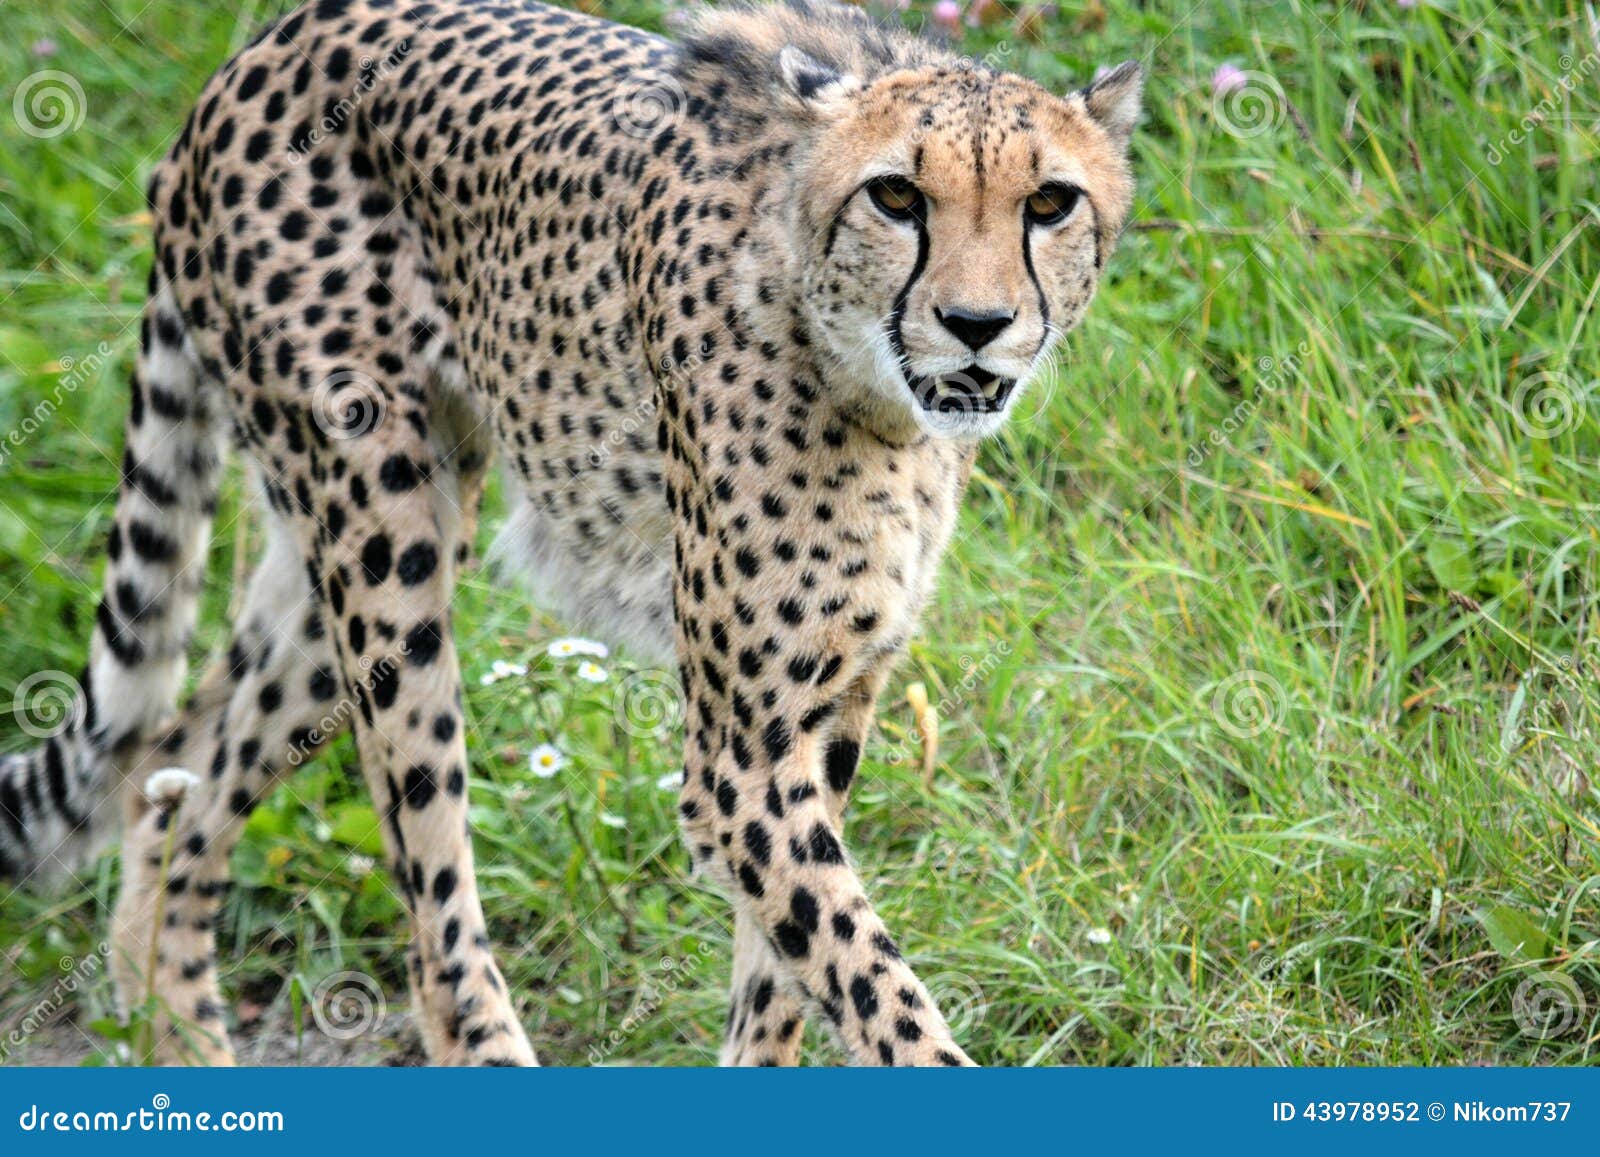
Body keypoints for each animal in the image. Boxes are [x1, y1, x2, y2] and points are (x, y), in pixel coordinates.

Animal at [0, 0, 1139, 1066]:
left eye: (1049, 202)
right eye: (896, 195)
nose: (977, 325)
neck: (868, 388)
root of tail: (252, 55)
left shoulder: (833, 702)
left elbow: (785, 971)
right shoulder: (740, 754)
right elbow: (868, 977)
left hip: (355, 554)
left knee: (171, 774)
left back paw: (177, 1029)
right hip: (383, 534)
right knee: (427, 904)